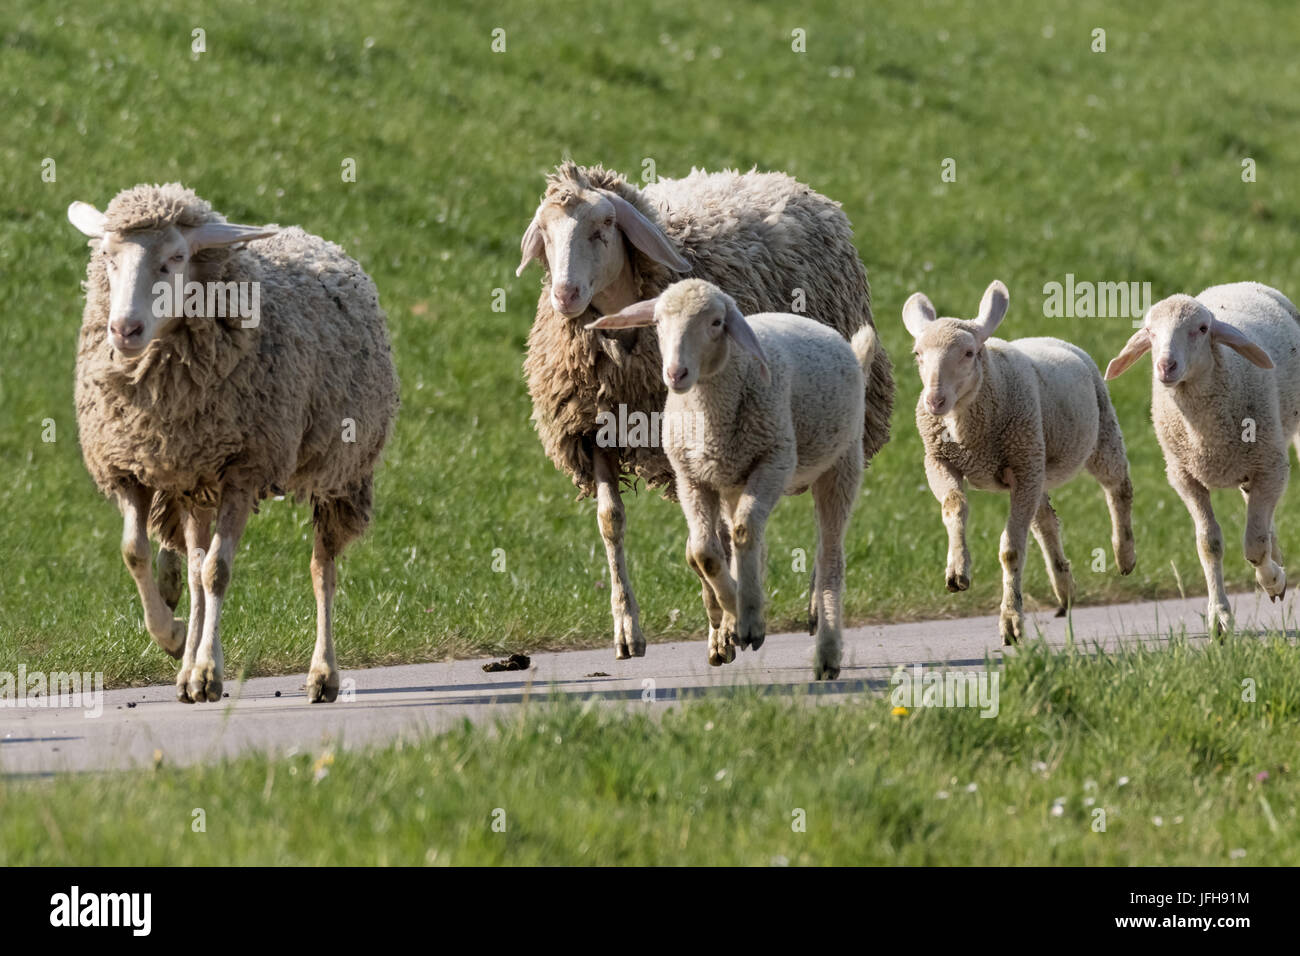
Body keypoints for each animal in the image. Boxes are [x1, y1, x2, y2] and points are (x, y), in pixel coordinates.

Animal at [67, 183, 398, 704]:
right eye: (107, 256)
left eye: (176, 258)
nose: (123, 330)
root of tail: (307, 235)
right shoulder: (133, 467)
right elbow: (136, 553)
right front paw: (173, 636)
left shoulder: (245, 470)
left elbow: (217, 572)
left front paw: (206, 670)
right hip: (196, 482)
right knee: (193, 563)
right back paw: (186, 662)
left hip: (340, 470)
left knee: (321, 569)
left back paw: (322, 673)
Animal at [588, 279, 875, 679]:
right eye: (657, 322)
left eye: (716, 323)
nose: (675, 373)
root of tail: (843, 343)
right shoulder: (692, 478)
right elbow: (705, 552)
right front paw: (732, 615)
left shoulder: (774, 460)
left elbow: (742, 532)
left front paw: (749, 619)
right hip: (733, 481)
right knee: (742, 544)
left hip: (840, 464)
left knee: (828, 557)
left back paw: (828, 652)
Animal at [903, 280, 1136, 645]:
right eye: (918, 354)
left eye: (968, 353)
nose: (934, 401)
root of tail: (1051, 337)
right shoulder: (939, 461)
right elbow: (954, 506)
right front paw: (957, 571)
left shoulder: (1023, 467)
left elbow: (1011, 550)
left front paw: (1011, 622)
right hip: (1037, 464)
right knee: (1046, 523)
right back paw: (1064, 588)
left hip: (1097, 434)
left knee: (1118, 486)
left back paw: (1124, 554)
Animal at [1104, 282, 1300, 635]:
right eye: (1150, 331)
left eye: (1203, 329)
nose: (1165, 366)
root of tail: (1236, 283)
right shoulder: (1185, 477)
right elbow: (1209, 544)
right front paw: (1219, 616)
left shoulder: (1271, 465)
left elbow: (1254, 545)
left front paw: (1273, 580)